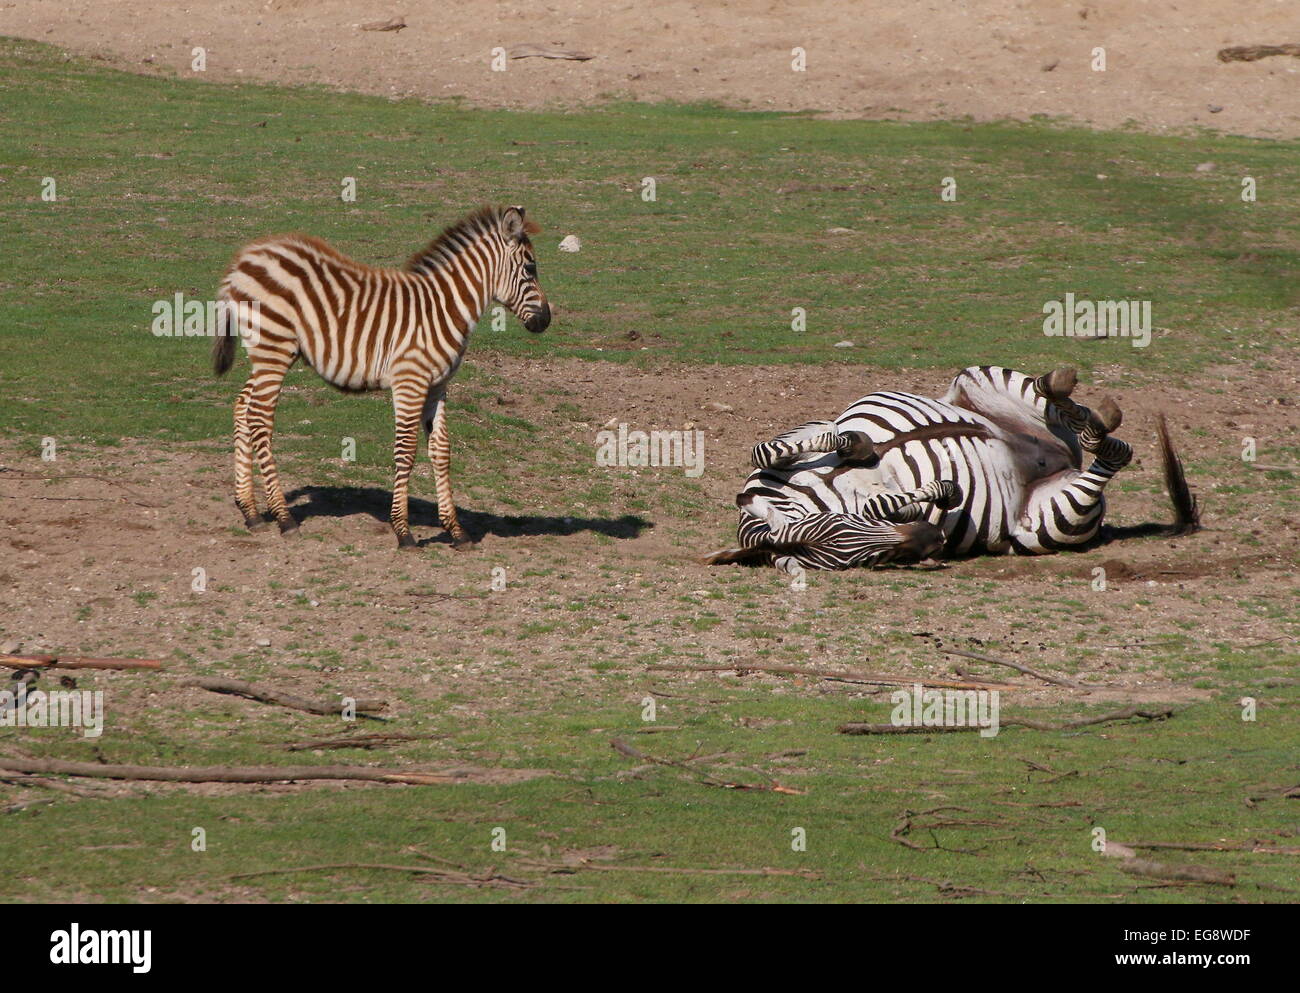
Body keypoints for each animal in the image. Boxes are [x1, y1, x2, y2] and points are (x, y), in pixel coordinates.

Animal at [212, 205, 550, 548]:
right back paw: (283, 517)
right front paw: (403, 531)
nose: (546, 321)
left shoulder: (437, 385)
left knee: (242, 407)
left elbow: (441, 450)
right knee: (259, 419)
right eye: (530, 268)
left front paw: (456, 531)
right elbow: (406, 450)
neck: (444, 308)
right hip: (273, 349)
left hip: (270, 355)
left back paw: (250, 511)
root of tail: (246, 256)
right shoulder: (410, 382)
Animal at [705, 365, 1198, 573]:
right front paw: (941, 491)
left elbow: (764, 449)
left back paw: (1069, 392)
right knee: (1113, 454)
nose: (932, 538)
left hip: (975, 381)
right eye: (873, 561)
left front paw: (857, 444)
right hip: (1049, 520)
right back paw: (1101, 430)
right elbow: (893, 499)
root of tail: (1061, 457)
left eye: (843, 525)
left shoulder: (798, 438)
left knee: (1059, 402)